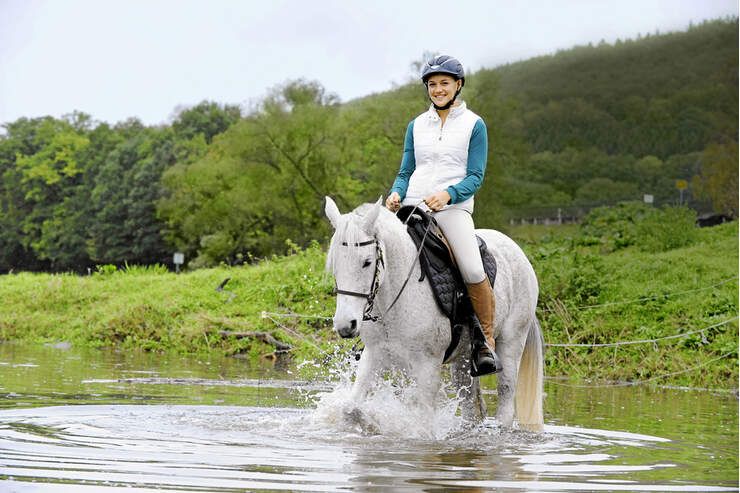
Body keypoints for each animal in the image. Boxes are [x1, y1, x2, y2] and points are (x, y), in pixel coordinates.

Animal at [324, 197, 544, 431]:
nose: (345, 325)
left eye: (366, 262)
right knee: (471, 406)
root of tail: (518, 252)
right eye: (334, 263)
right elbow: (351, 409)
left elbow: (422, 426)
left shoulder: (427, 365)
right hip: (463, 359)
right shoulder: (374, 355)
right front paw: (372, 423)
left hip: (511, 343)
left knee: (505, 401)